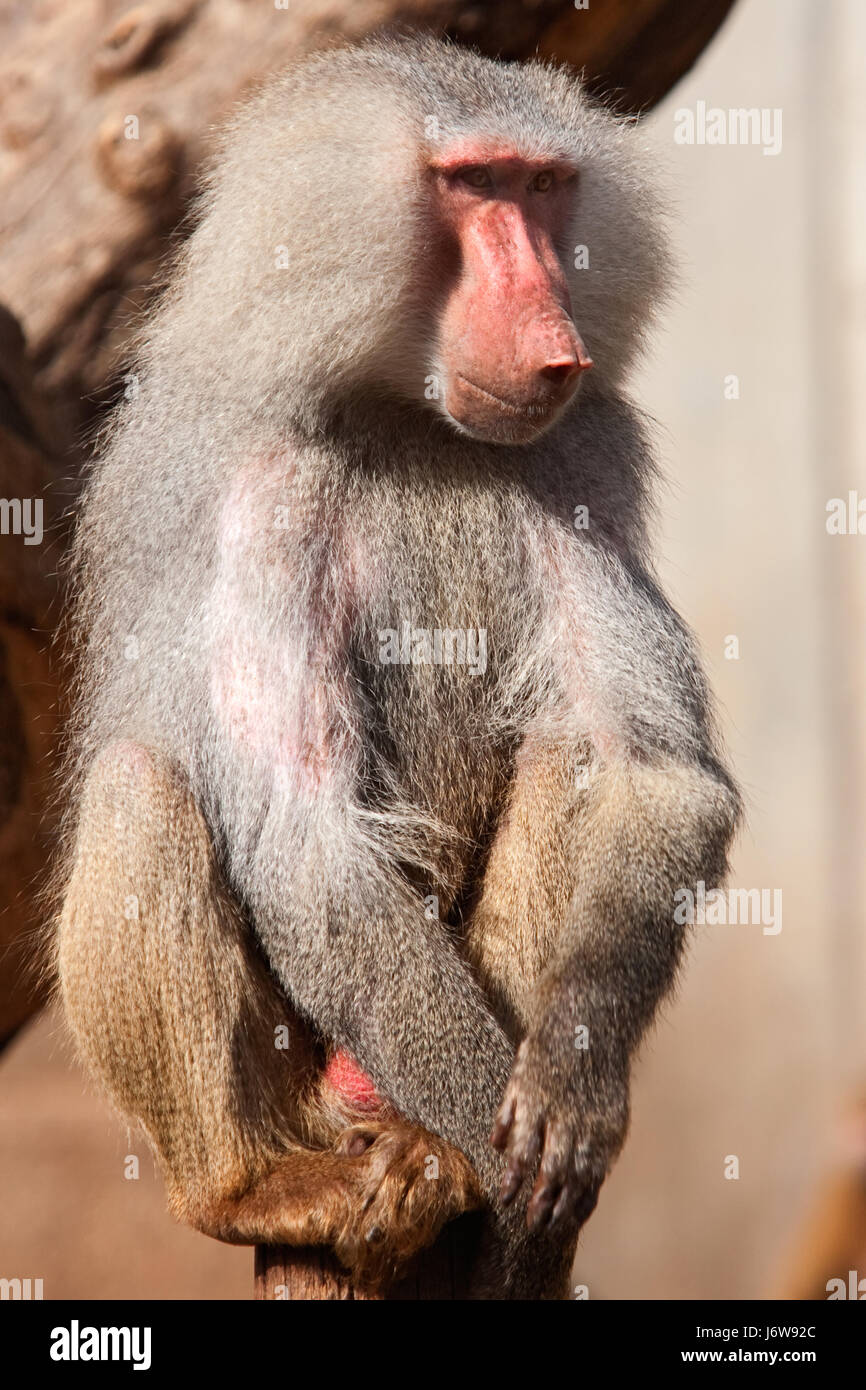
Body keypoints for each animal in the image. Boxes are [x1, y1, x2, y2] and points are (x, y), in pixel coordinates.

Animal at [56, 34, 741, 1299]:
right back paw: (254, 1183)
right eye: (469, 188)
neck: (407, 410)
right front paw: (512, 1181)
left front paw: (567, 1101)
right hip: (302, 1078)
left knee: (571, 751)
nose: (551, 336)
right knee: (139, 786)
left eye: (540, 187)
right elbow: (302, 837)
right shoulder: (259, 481)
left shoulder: (581, 453)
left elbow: (654, 773)